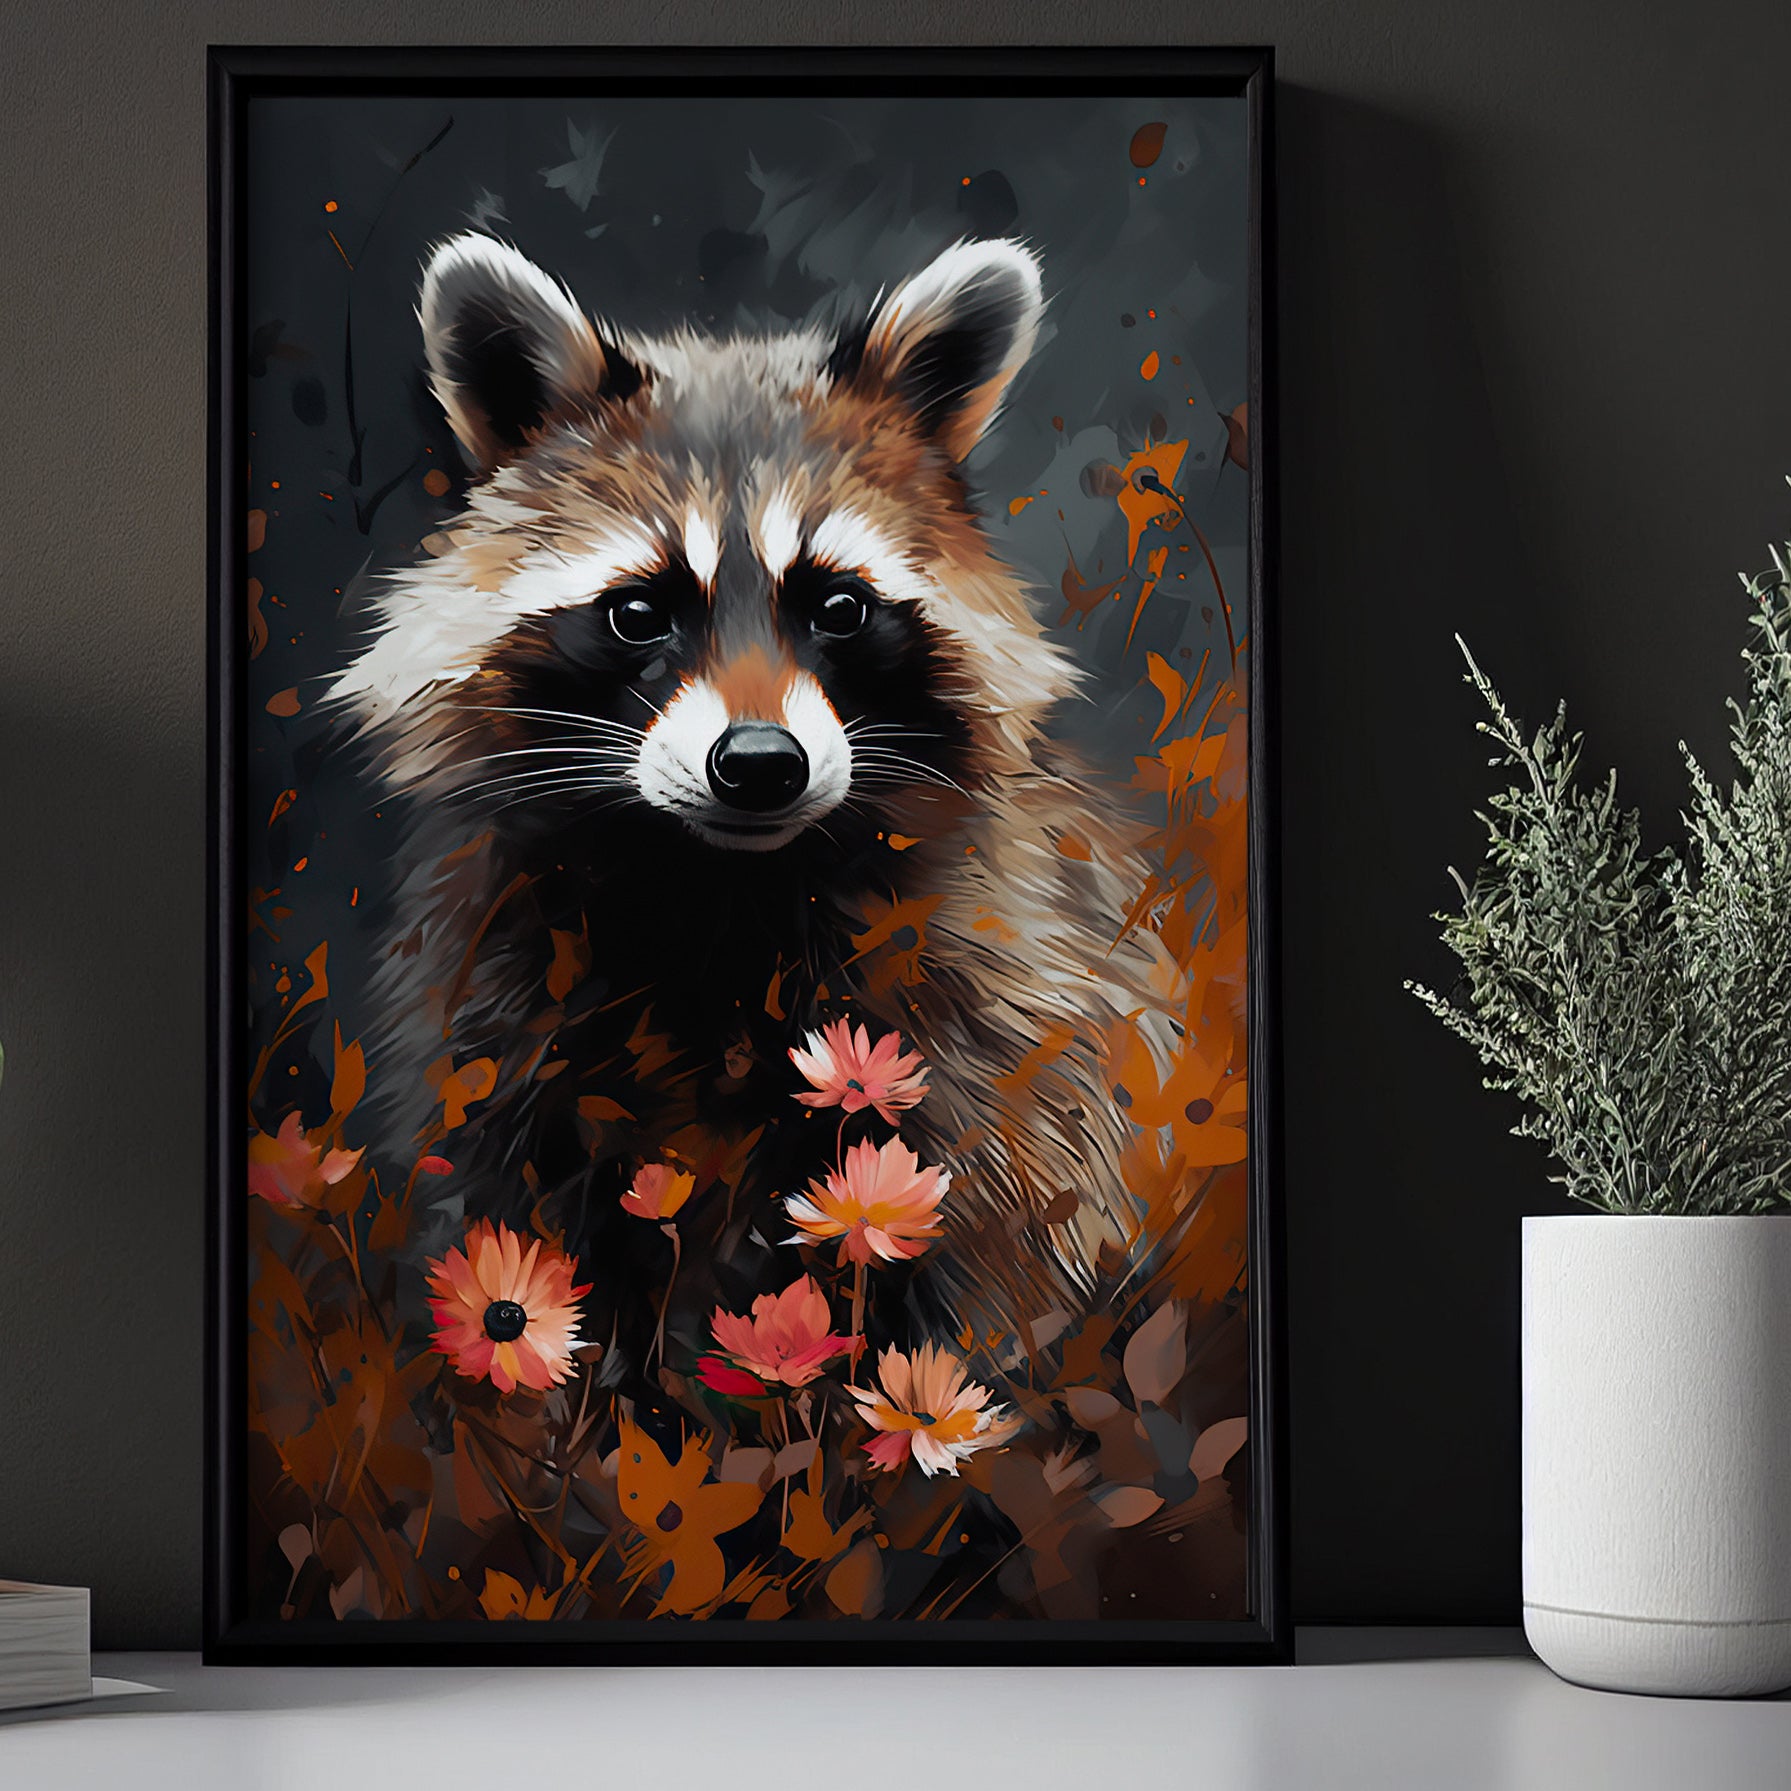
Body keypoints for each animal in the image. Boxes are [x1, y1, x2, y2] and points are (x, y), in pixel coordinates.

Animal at [330, 232, 1179, 1365]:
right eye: (638, 612)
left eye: (838, 605)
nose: (762, 762)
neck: (717, 883)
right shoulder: (494, 997)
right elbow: (502, 1225)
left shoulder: (1003, 992)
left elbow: (998, 1248)